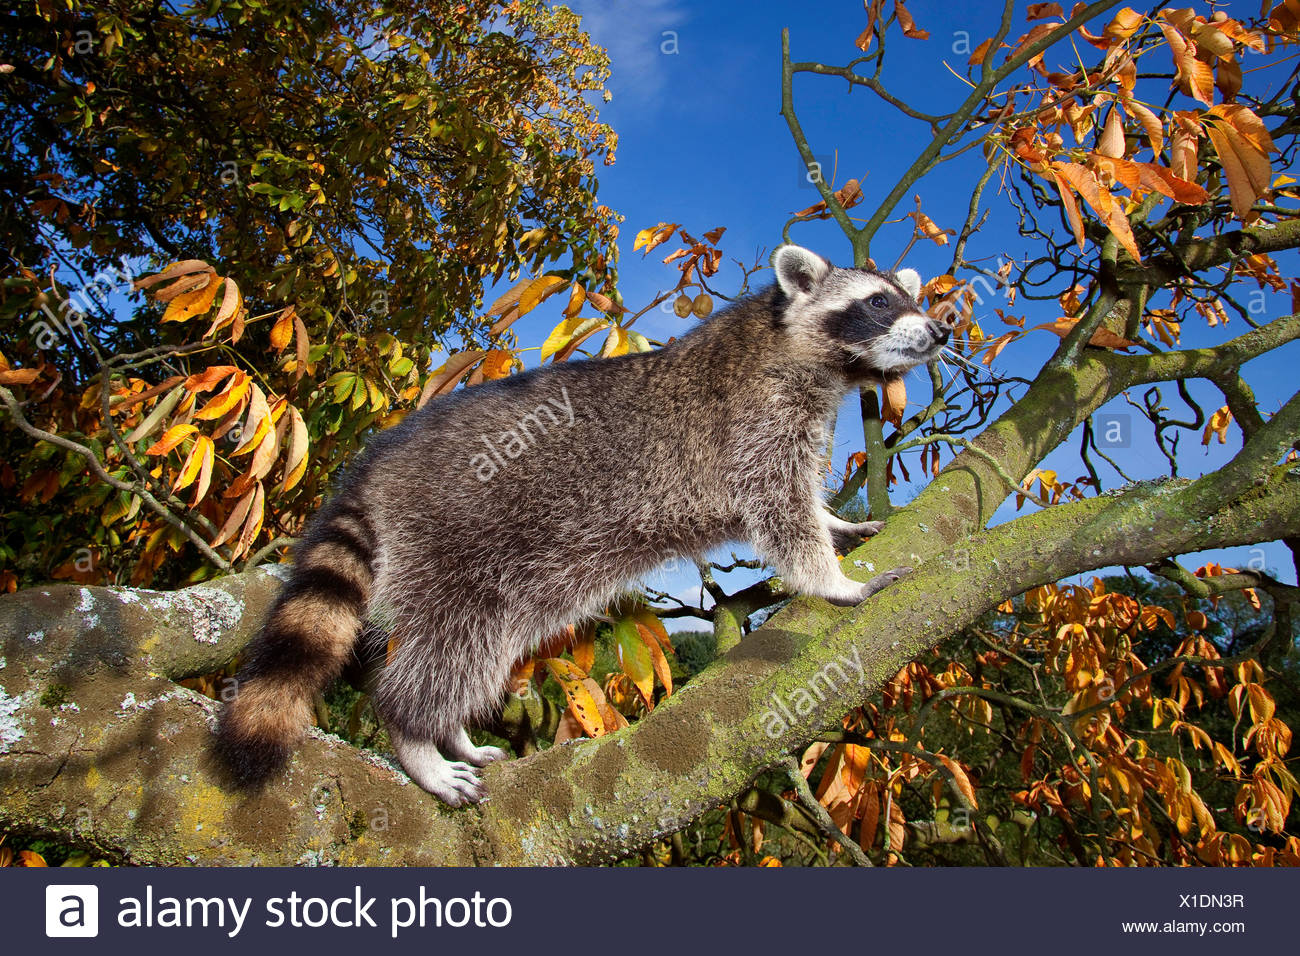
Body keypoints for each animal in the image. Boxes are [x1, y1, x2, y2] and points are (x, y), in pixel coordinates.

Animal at [214, 244, 952, 806]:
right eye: (878, 304)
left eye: (907, 298)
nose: (942, 331)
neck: (800, 350)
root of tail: (379, 463)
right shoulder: (751, 419)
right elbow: (777, 512)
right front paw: (832, 581)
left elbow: (798, 502)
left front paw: (837, 523)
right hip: (452, 538)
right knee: (452, 642)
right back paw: (415, 732)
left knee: (486, 644)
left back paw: (450, 729)